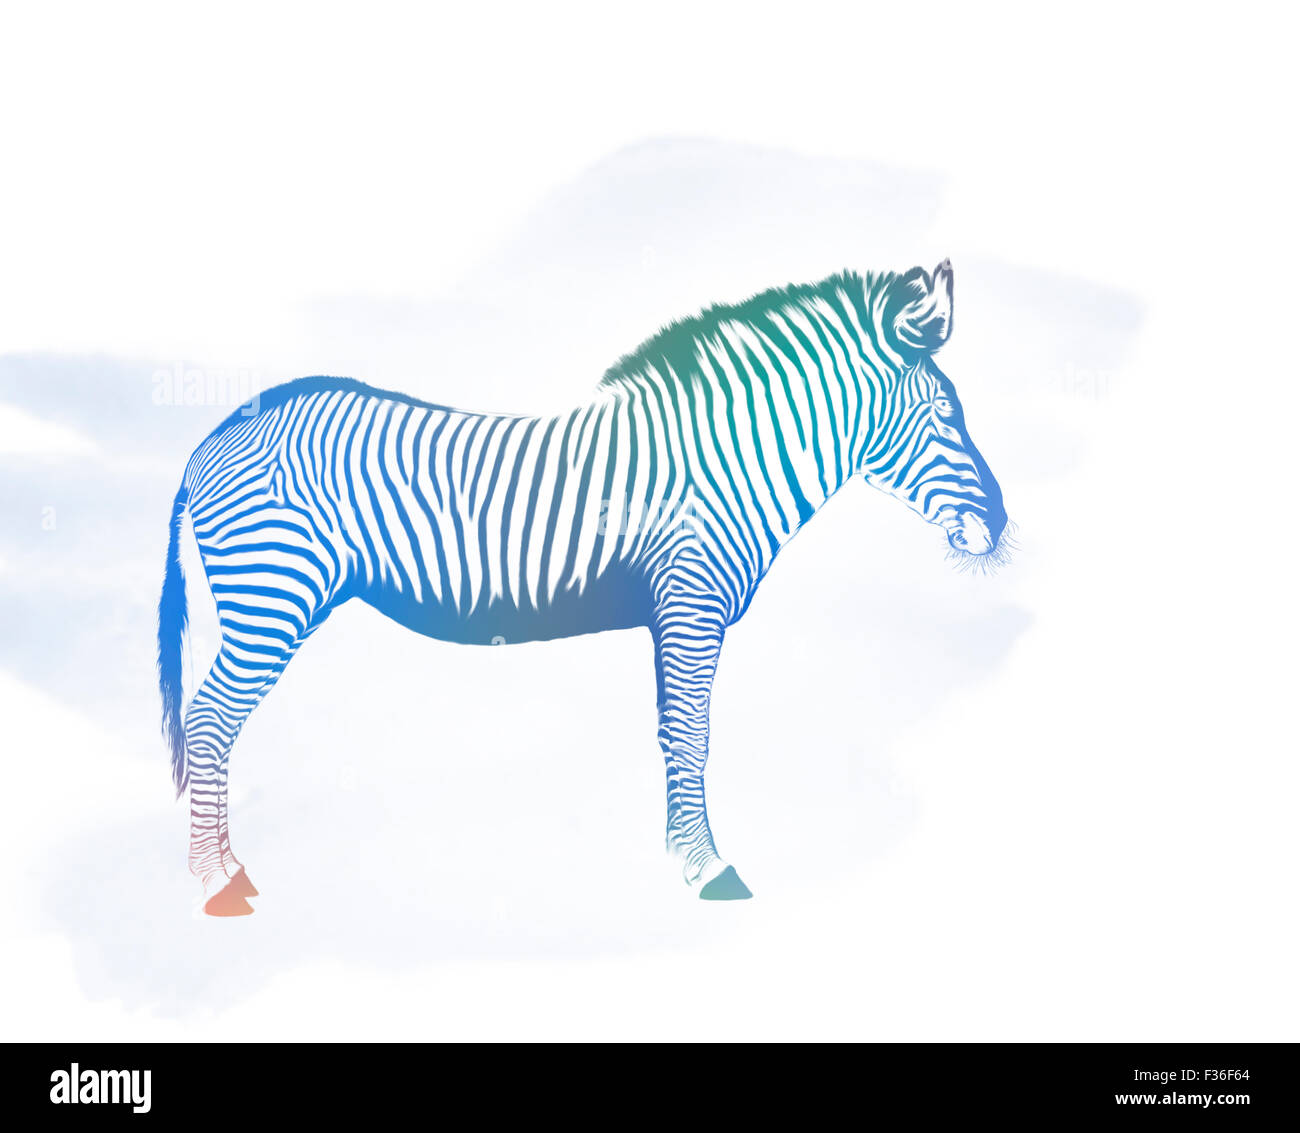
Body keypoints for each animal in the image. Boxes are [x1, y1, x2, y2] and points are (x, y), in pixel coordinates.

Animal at [157, 260, 1008, 914]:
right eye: (945, 414)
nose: (998, 525)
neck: (725, 464)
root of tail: (221, 430)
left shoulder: (676, 614)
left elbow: (675, 732)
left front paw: (682, 856)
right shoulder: (691, 604)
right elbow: (691, 735)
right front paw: (709, 869)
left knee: (214, 723)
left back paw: (232, 871)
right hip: (273, 590)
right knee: (209, 719)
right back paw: (216, 884)